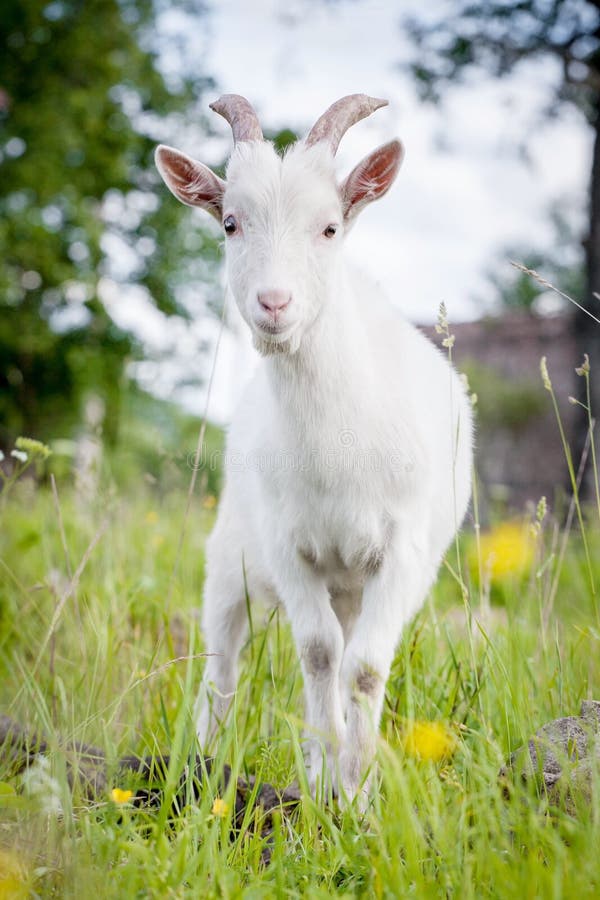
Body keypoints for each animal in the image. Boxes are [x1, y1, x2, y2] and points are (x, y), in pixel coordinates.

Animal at [155, 94, 473, 803]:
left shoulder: (401, 551)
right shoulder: (288, 546)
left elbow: (363, 666)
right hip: (231, 556)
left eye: (329, 228)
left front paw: (355, 793)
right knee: (223, 661)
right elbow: (318, 652)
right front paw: (330, 779)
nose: (274, 304)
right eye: (230, 223)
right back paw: (204, 762)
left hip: (353, 582)